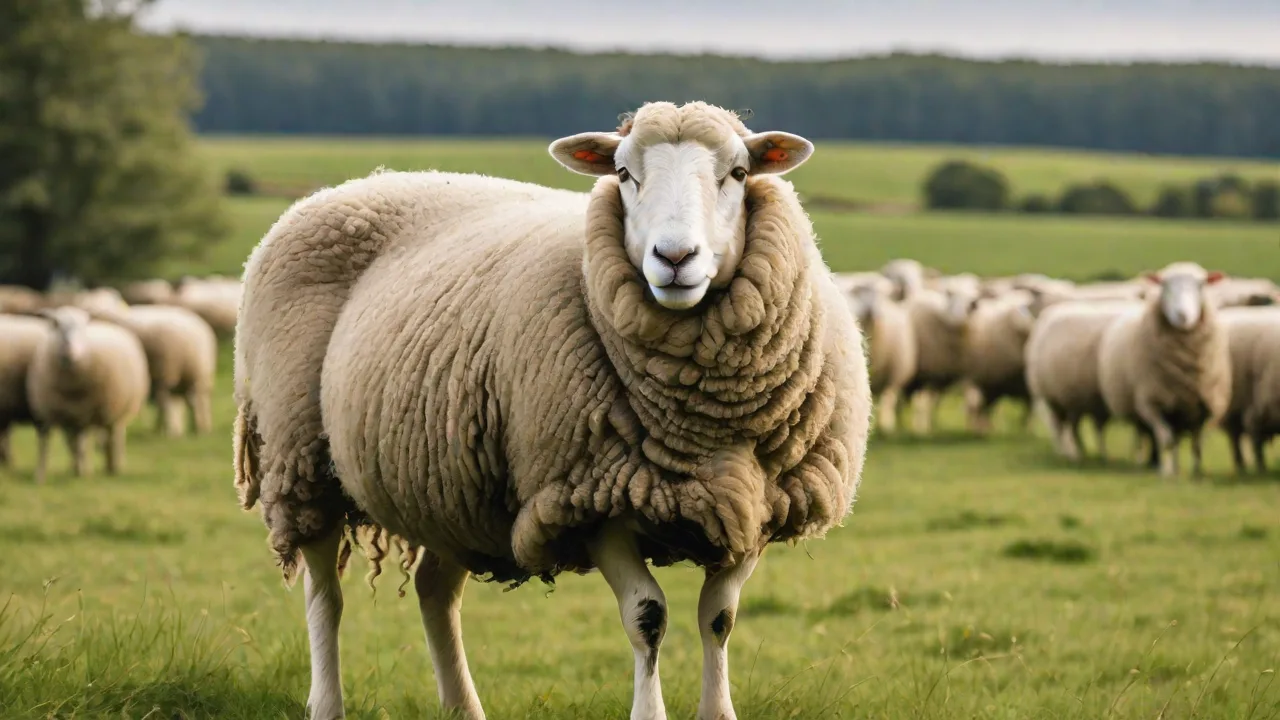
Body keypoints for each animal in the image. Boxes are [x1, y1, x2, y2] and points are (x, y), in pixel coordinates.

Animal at [25, 307, 150, 484]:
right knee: (85, 440)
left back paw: (112, 467)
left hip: (116, 409)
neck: (70, 387)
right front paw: (40, 477)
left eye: (83, 328)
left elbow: (81, 445)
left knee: (113, 437)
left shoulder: (84, 413)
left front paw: (82, 473)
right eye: (57, 325)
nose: (70, 351)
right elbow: (46, 445)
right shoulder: (47, 413)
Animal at [233, 101, 870, 720]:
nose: (674, 257)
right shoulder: (591, 497)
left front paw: (718, 712)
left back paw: (464, 708)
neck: (702, 418)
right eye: (623, 174)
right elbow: (648, 617)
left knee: (435, 590)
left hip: (449, 484)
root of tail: (357, 184)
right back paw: (328, 704)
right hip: (299, 456)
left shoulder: (754, 501)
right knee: (325, 593)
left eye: (738, 173)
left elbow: (719, 620)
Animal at [845, 276, 917, 433]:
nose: (876, 314)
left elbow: (887, 400)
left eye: (885, 296)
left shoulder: (893, 376)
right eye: (866, 294)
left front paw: (886, 427)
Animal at [1097, 263, 1231, 478]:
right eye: (1164, 285)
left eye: (1201, 285)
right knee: (1146, 436)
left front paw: (1197, 473)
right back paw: (1147, 463)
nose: (1182, 316)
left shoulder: (1205, 405)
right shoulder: (1152, 402)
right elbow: (1165, 440)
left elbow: (1197, 444)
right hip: (1140, 410)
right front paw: (1166, 474)